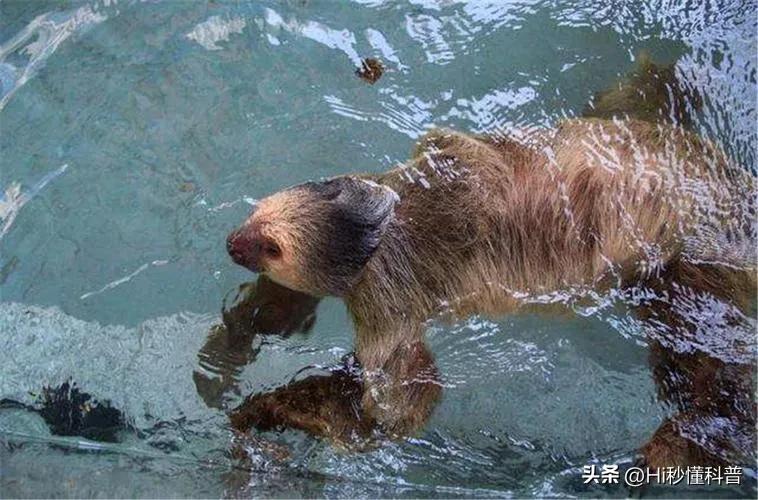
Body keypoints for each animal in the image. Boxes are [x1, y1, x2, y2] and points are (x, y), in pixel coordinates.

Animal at [222, 60, 756, 467]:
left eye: (269, 245)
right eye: (255, 214)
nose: (232, 242)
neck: (395, 224)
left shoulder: (386, 304)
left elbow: (399, 403)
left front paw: (278, 408)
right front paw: (252, 324)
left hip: (689, 271)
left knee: (705, 367)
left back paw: (684, 441)